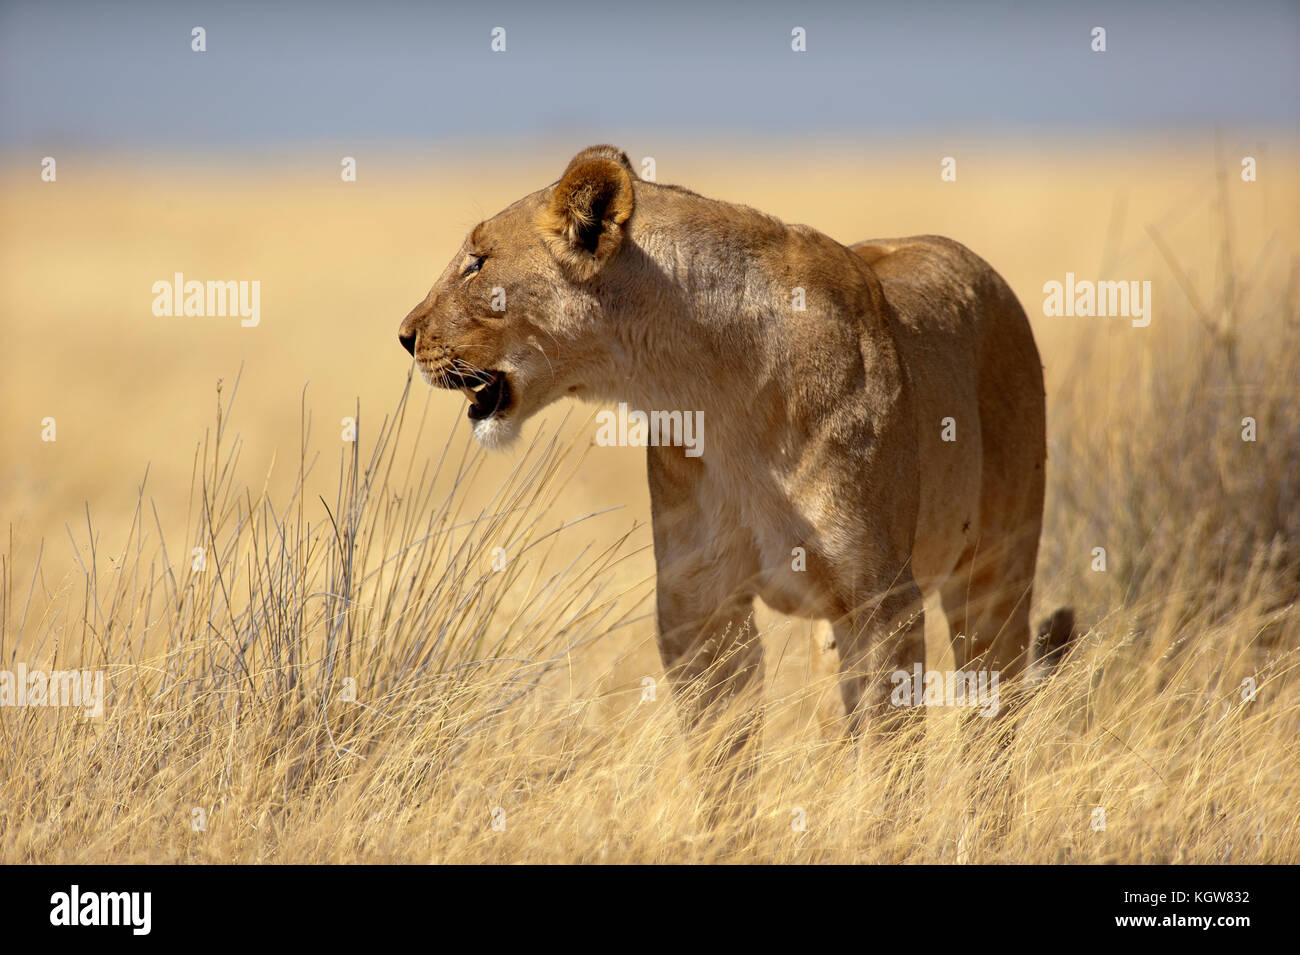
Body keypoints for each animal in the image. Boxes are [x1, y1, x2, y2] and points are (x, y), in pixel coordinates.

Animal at [398, 144, 1073, 757]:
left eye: (477, 264)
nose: (405, 336)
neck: (713, 392)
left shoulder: (882, 597)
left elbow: (891, 764)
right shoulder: (699, 604)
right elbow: (723, 763)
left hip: (995, 575)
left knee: (993, 729)